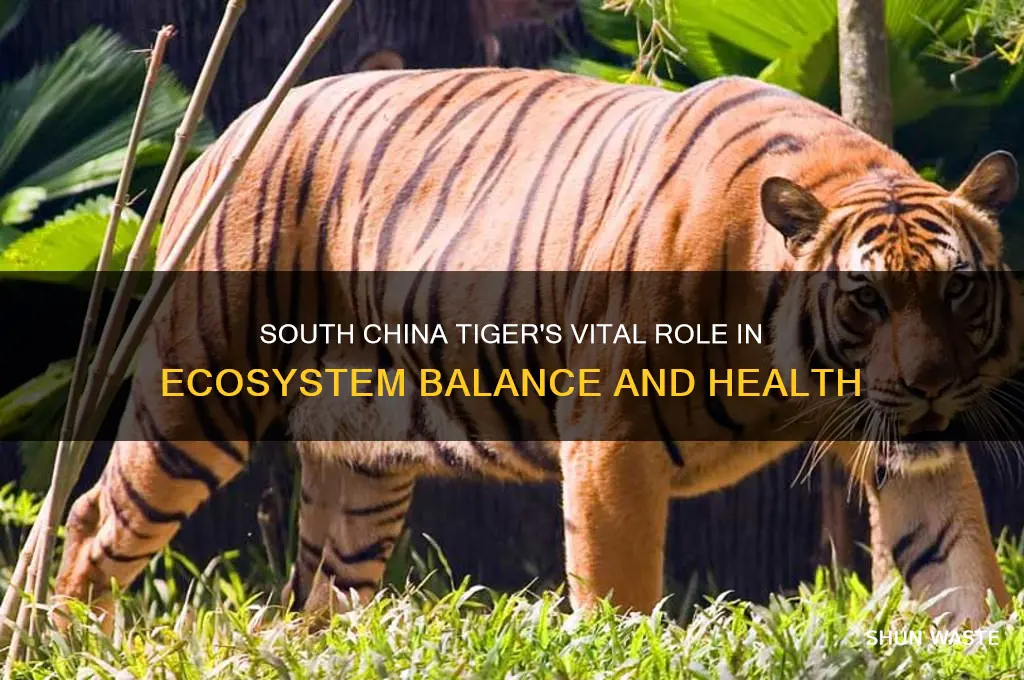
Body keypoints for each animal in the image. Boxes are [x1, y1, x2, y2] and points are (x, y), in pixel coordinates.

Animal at [53, 68, 1022, 631]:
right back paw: (65, 640)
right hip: (200, 398)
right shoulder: (609, 443)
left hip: (361, 470)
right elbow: (618, 595)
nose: (932, 388)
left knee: (322, 594)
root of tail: (220, 139)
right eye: (866, 297)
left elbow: (960, 569)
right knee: (93, 519)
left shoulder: (908, 449)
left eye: (958, 289)